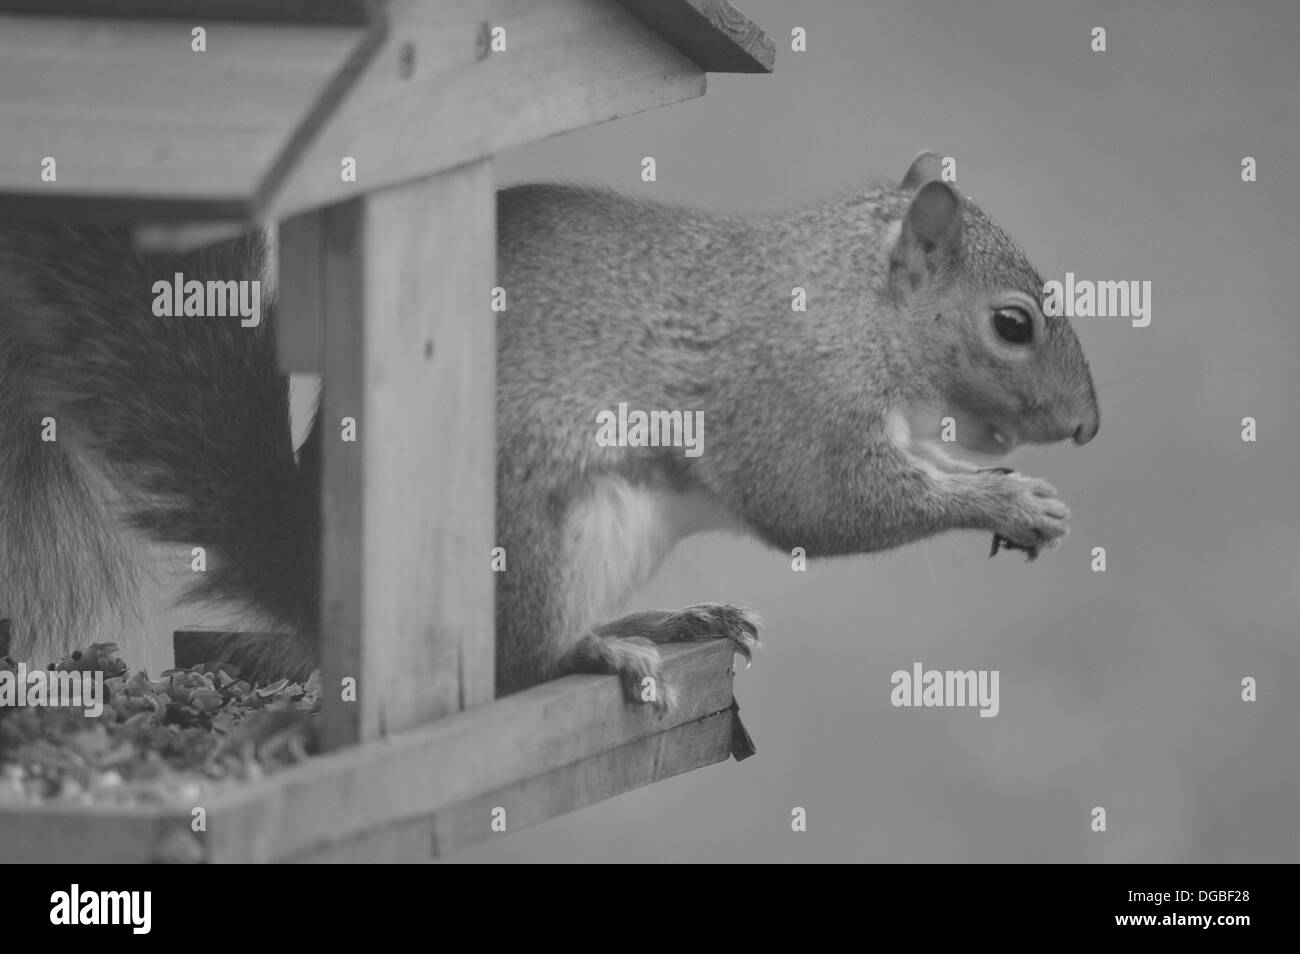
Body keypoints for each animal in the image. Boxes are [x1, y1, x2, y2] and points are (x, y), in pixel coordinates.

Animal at [0, 150, 1098, 706]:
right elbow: (824, 506)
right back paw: (600, 653)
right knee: (518, 664)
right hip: (529, 543)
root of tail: (306, 573)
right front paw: (1010, 501)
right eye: (1012, 324)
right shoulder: (788, 400)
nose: (1088, 427)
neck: (850, 310)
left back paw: (664, 621)